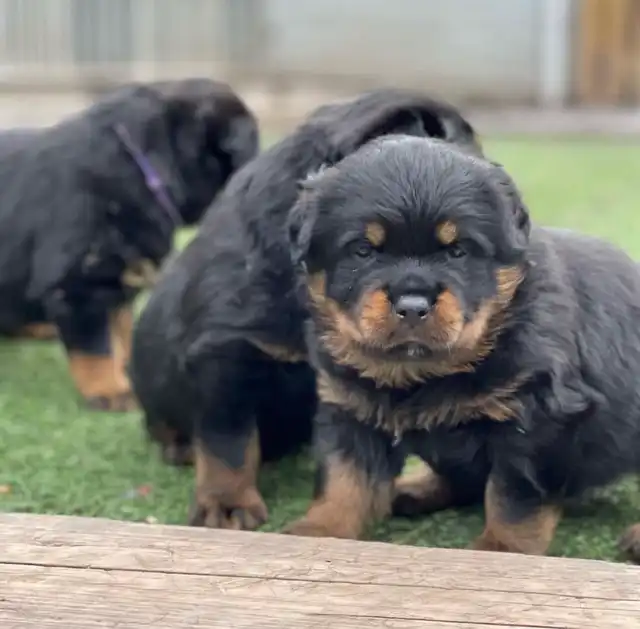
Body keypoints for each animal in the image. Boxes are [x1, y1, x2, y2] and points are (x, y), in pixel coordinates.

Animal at [0, 78, 258, 412]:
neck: (145, 165)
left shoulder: (121, 273)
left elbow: (119, 327)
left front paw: (124, 368)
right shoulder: (82, 280)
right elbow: (96, 348)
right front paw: (109, 390)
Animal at [284, 134, 640, 563]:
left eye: (457, 251)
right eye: (363, 251)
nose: (413, 305)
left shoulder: (536, 418)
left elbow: (512, 496)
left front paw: (501, 549)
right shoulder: (348, 407)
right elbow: (343, 477)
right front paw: (318, 532)